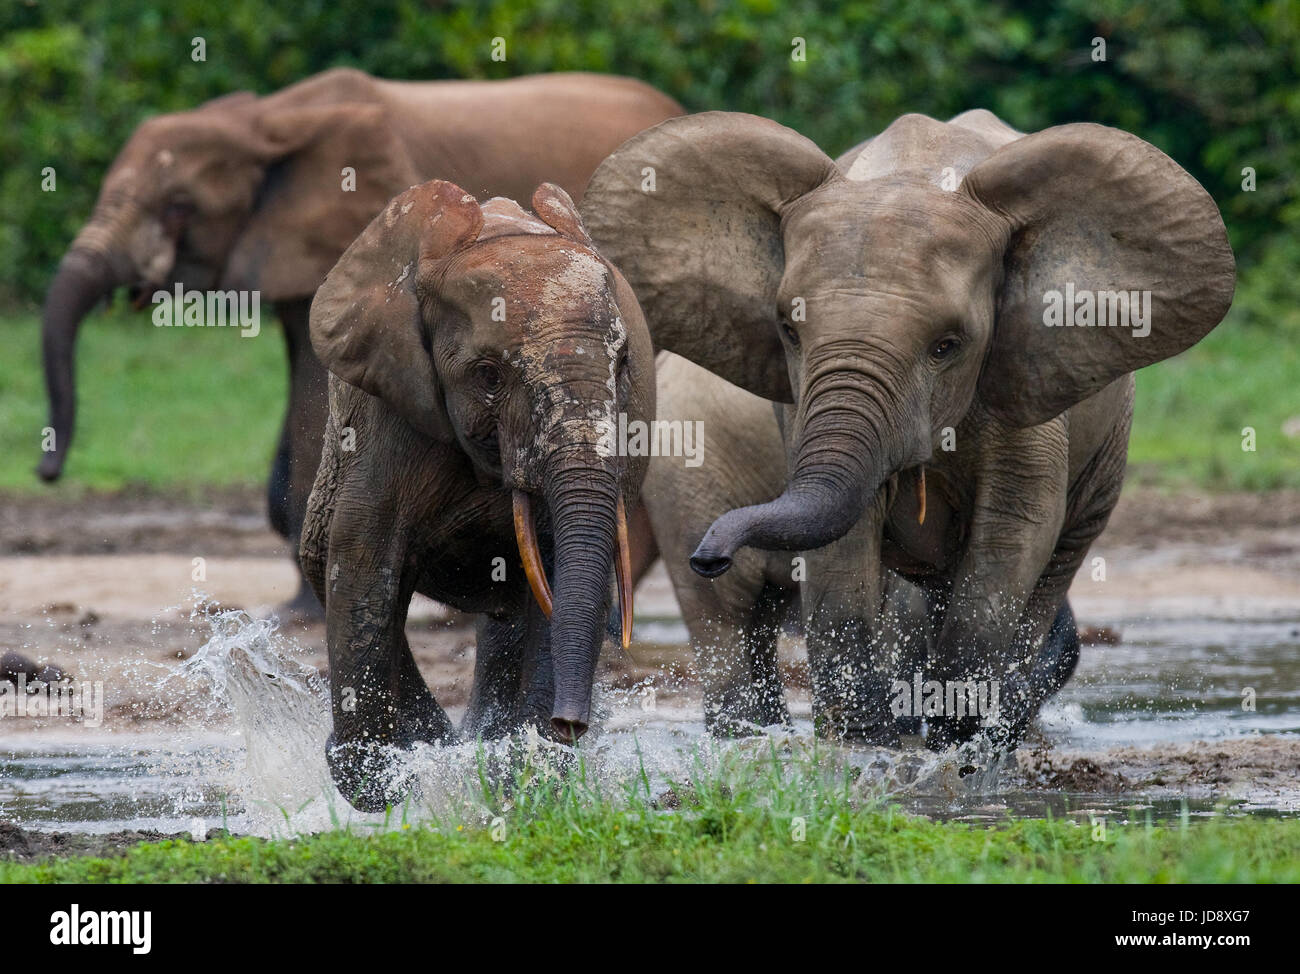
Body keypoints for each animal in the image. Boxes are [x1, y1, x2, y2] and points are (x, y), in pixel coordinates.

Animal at [300, 179, 654, 810]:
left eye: (622, 365)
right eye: (489, 375)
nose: (572, 725)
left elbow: (557, 577)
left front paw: (528, 776)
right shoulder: (389, 414)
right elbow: (364, 560)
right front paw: (381, 781)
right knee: (324, 558)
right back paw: (445, 746)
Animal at [582, 109, 1234, 753]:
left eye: (948, 345)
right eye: (789, 331)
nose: (709, 554)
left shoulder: (1026, 370)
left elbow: (1016, 525)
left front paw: (956, 741)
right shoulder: (798, 404)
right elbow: (846, 535)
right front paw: (864, 738)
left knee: (1054, 560)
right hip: (687, 473)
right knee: (728, 614)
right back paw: (752, 735)